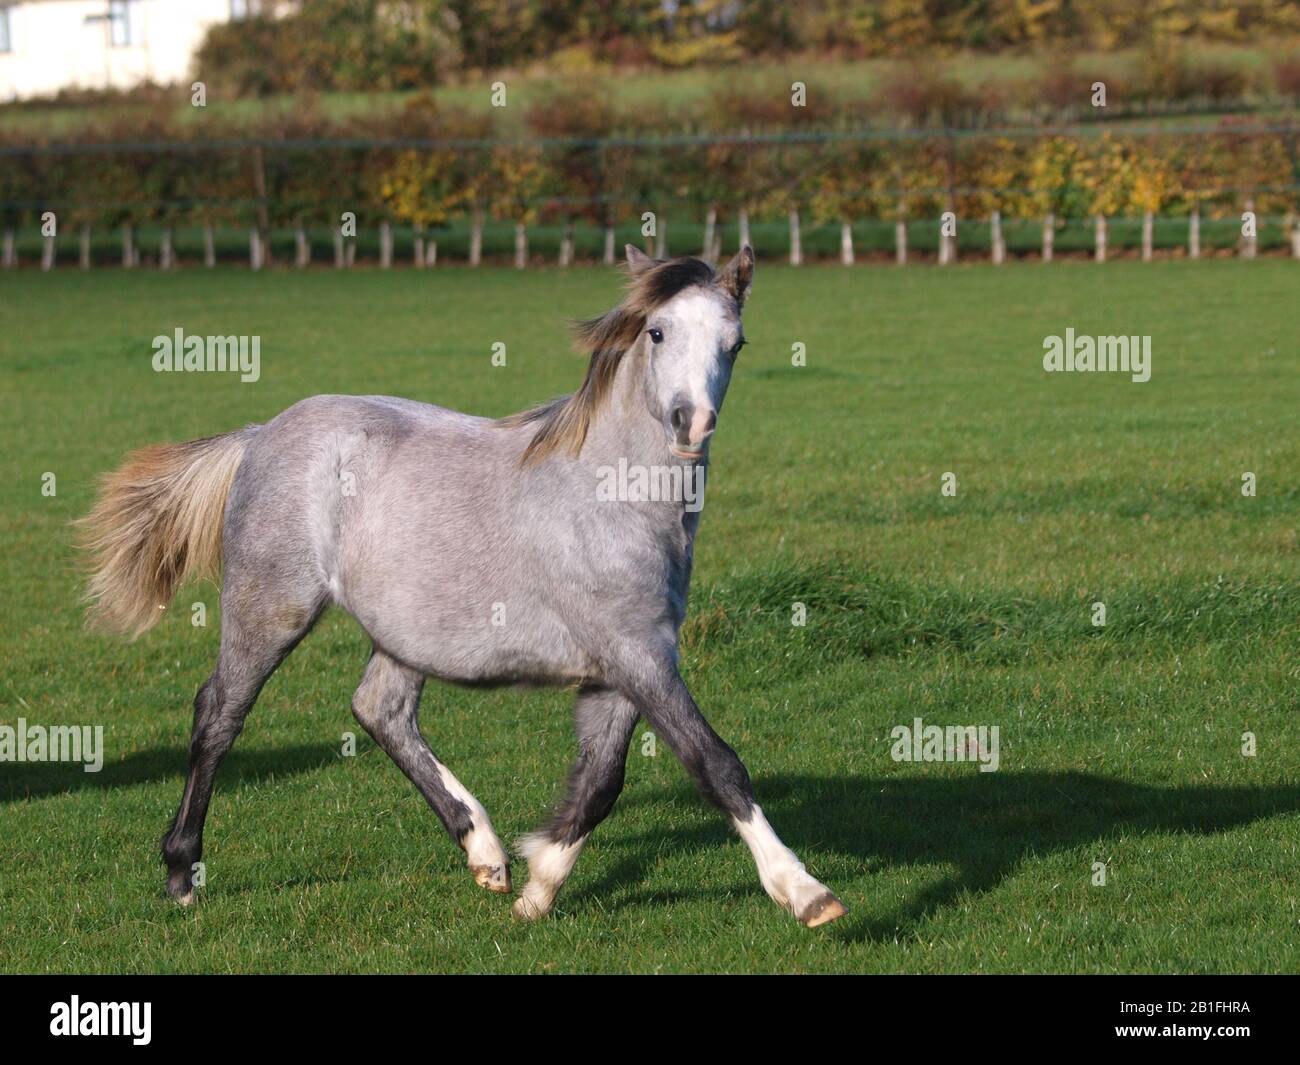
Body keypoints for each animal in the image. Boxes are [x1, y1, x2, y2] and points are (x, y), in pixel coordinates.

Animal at [78, 245, 847, 928]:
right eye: (657, 331)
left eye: (735, 342)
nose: (693, 423)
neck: (612, 496)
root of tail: (262, 433)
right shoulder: (636, 655)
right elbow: (715, 763)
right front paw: (805, 892)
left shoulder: (626, 665)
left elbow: (601, 783)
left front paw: (536, 890)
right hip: (269, 608)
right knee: (218, 715)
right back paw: (181, 875)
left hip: (404, 631)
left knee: (380, 710)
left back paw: (485, 852)